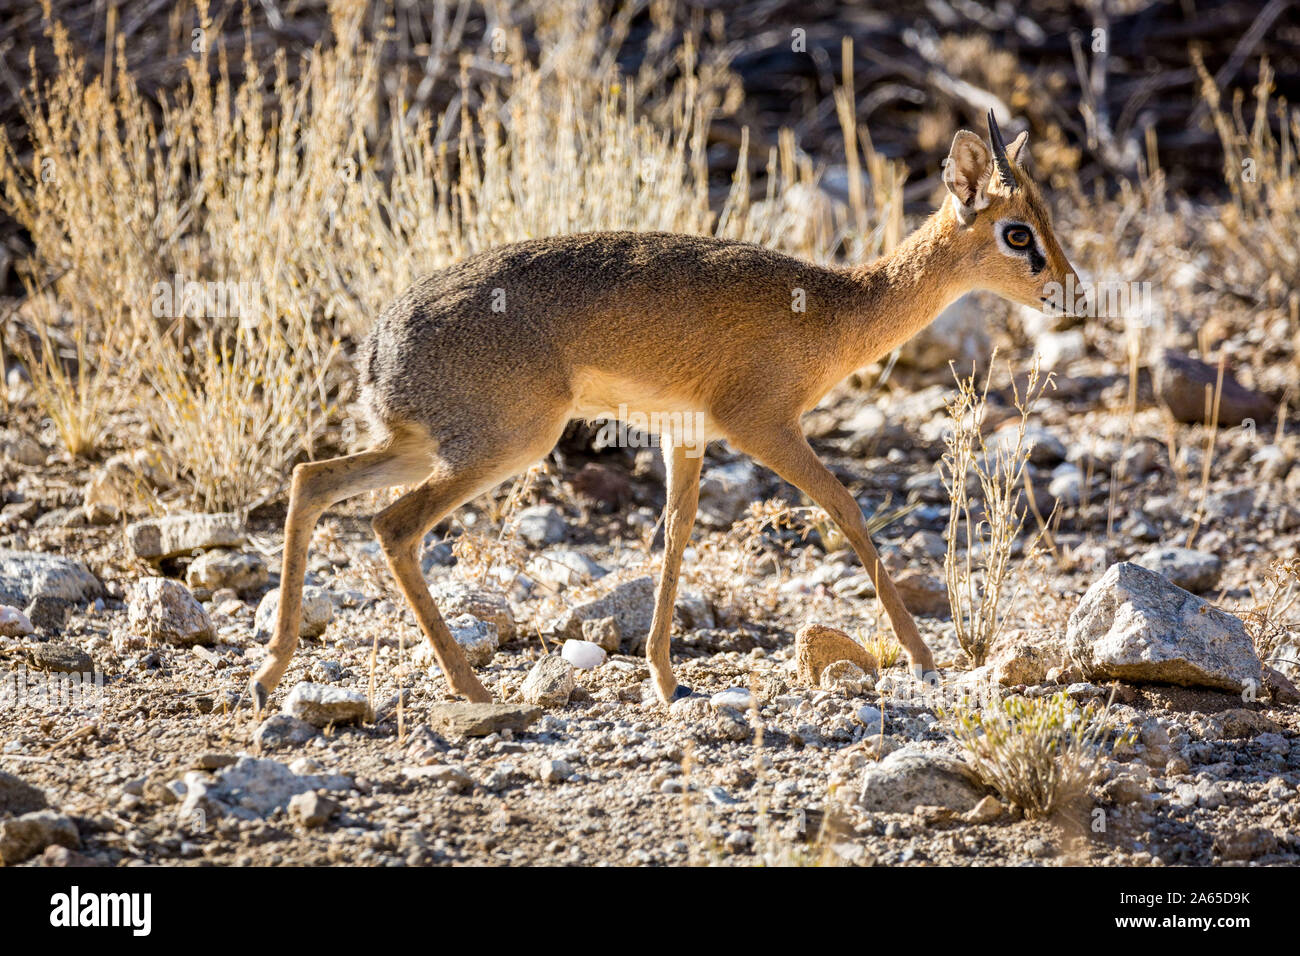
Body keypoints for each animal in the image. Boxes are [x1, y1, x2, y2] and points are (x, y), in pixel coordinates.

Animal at [249, 112, 1079, 712]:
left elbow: (675, 536)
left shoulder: (689, 438)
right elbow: (848, 512)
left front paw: (663, 676)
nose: (1070, 289)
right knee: (392, 524)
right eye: (1017, 233)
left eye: (1047, 217)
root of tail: (379, 345)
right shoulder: (764, 427)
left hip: (424, 445)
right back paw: (469, 687)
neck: (834, 307)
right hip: (504, 446)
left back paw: (272, 672)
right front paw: (925, 658)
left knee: (311, 480)